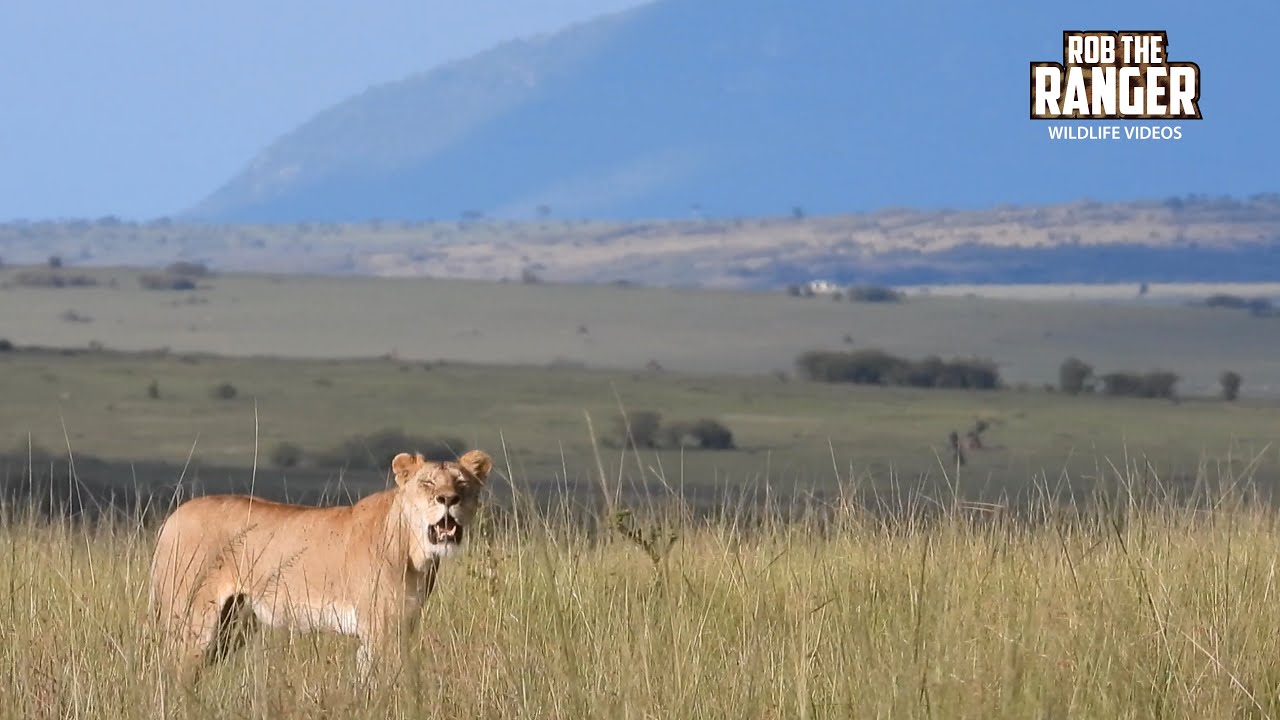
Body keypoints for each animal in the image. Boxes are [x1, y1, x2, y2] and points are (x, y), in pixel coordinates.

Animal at [149, 449, 492, 682]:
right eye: (427, 483)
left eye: (462, 483)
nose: (448, 499)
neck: (416, 550)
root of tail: (172, 517)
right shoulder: (380, 628)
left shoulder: (397, 626)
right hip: (192, 622)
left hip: (232, 625)